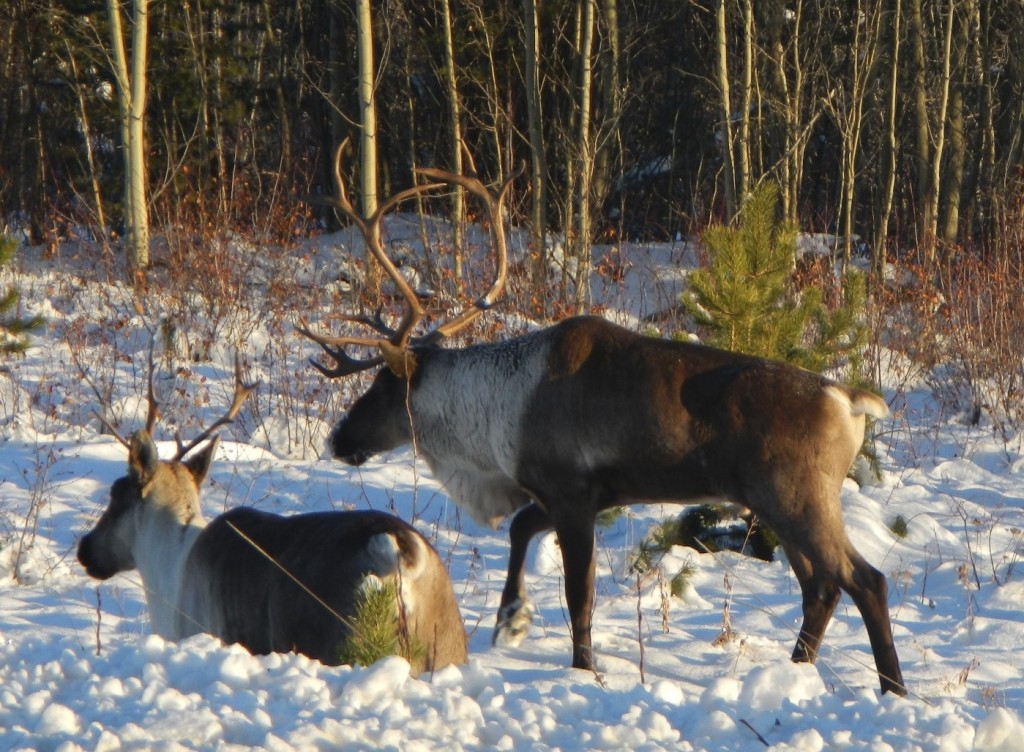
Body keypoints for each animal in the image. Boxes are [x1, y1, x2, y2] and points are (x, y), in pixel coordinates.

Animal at [77, 358, 468, 675]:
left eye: (116, 493)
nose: (84, 549)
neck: (169, 568)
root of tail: (400, 550)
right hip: (446, 649)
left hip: (344, 642)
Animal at [297, 142, 906, 696]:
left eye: (382, 384)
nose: (339, 440)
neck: (490, 425)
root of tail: (852, 400)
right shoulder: (576, 493)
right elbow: (521, 529)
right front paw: (510, 620)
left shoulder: (570, 491)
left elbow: (577, 592)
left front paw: (582, 668)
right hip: (775, 501)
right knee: (821, 585)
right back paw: (799, 669)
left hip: (796, 494)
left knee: (863, 579)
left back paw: (891, 687)